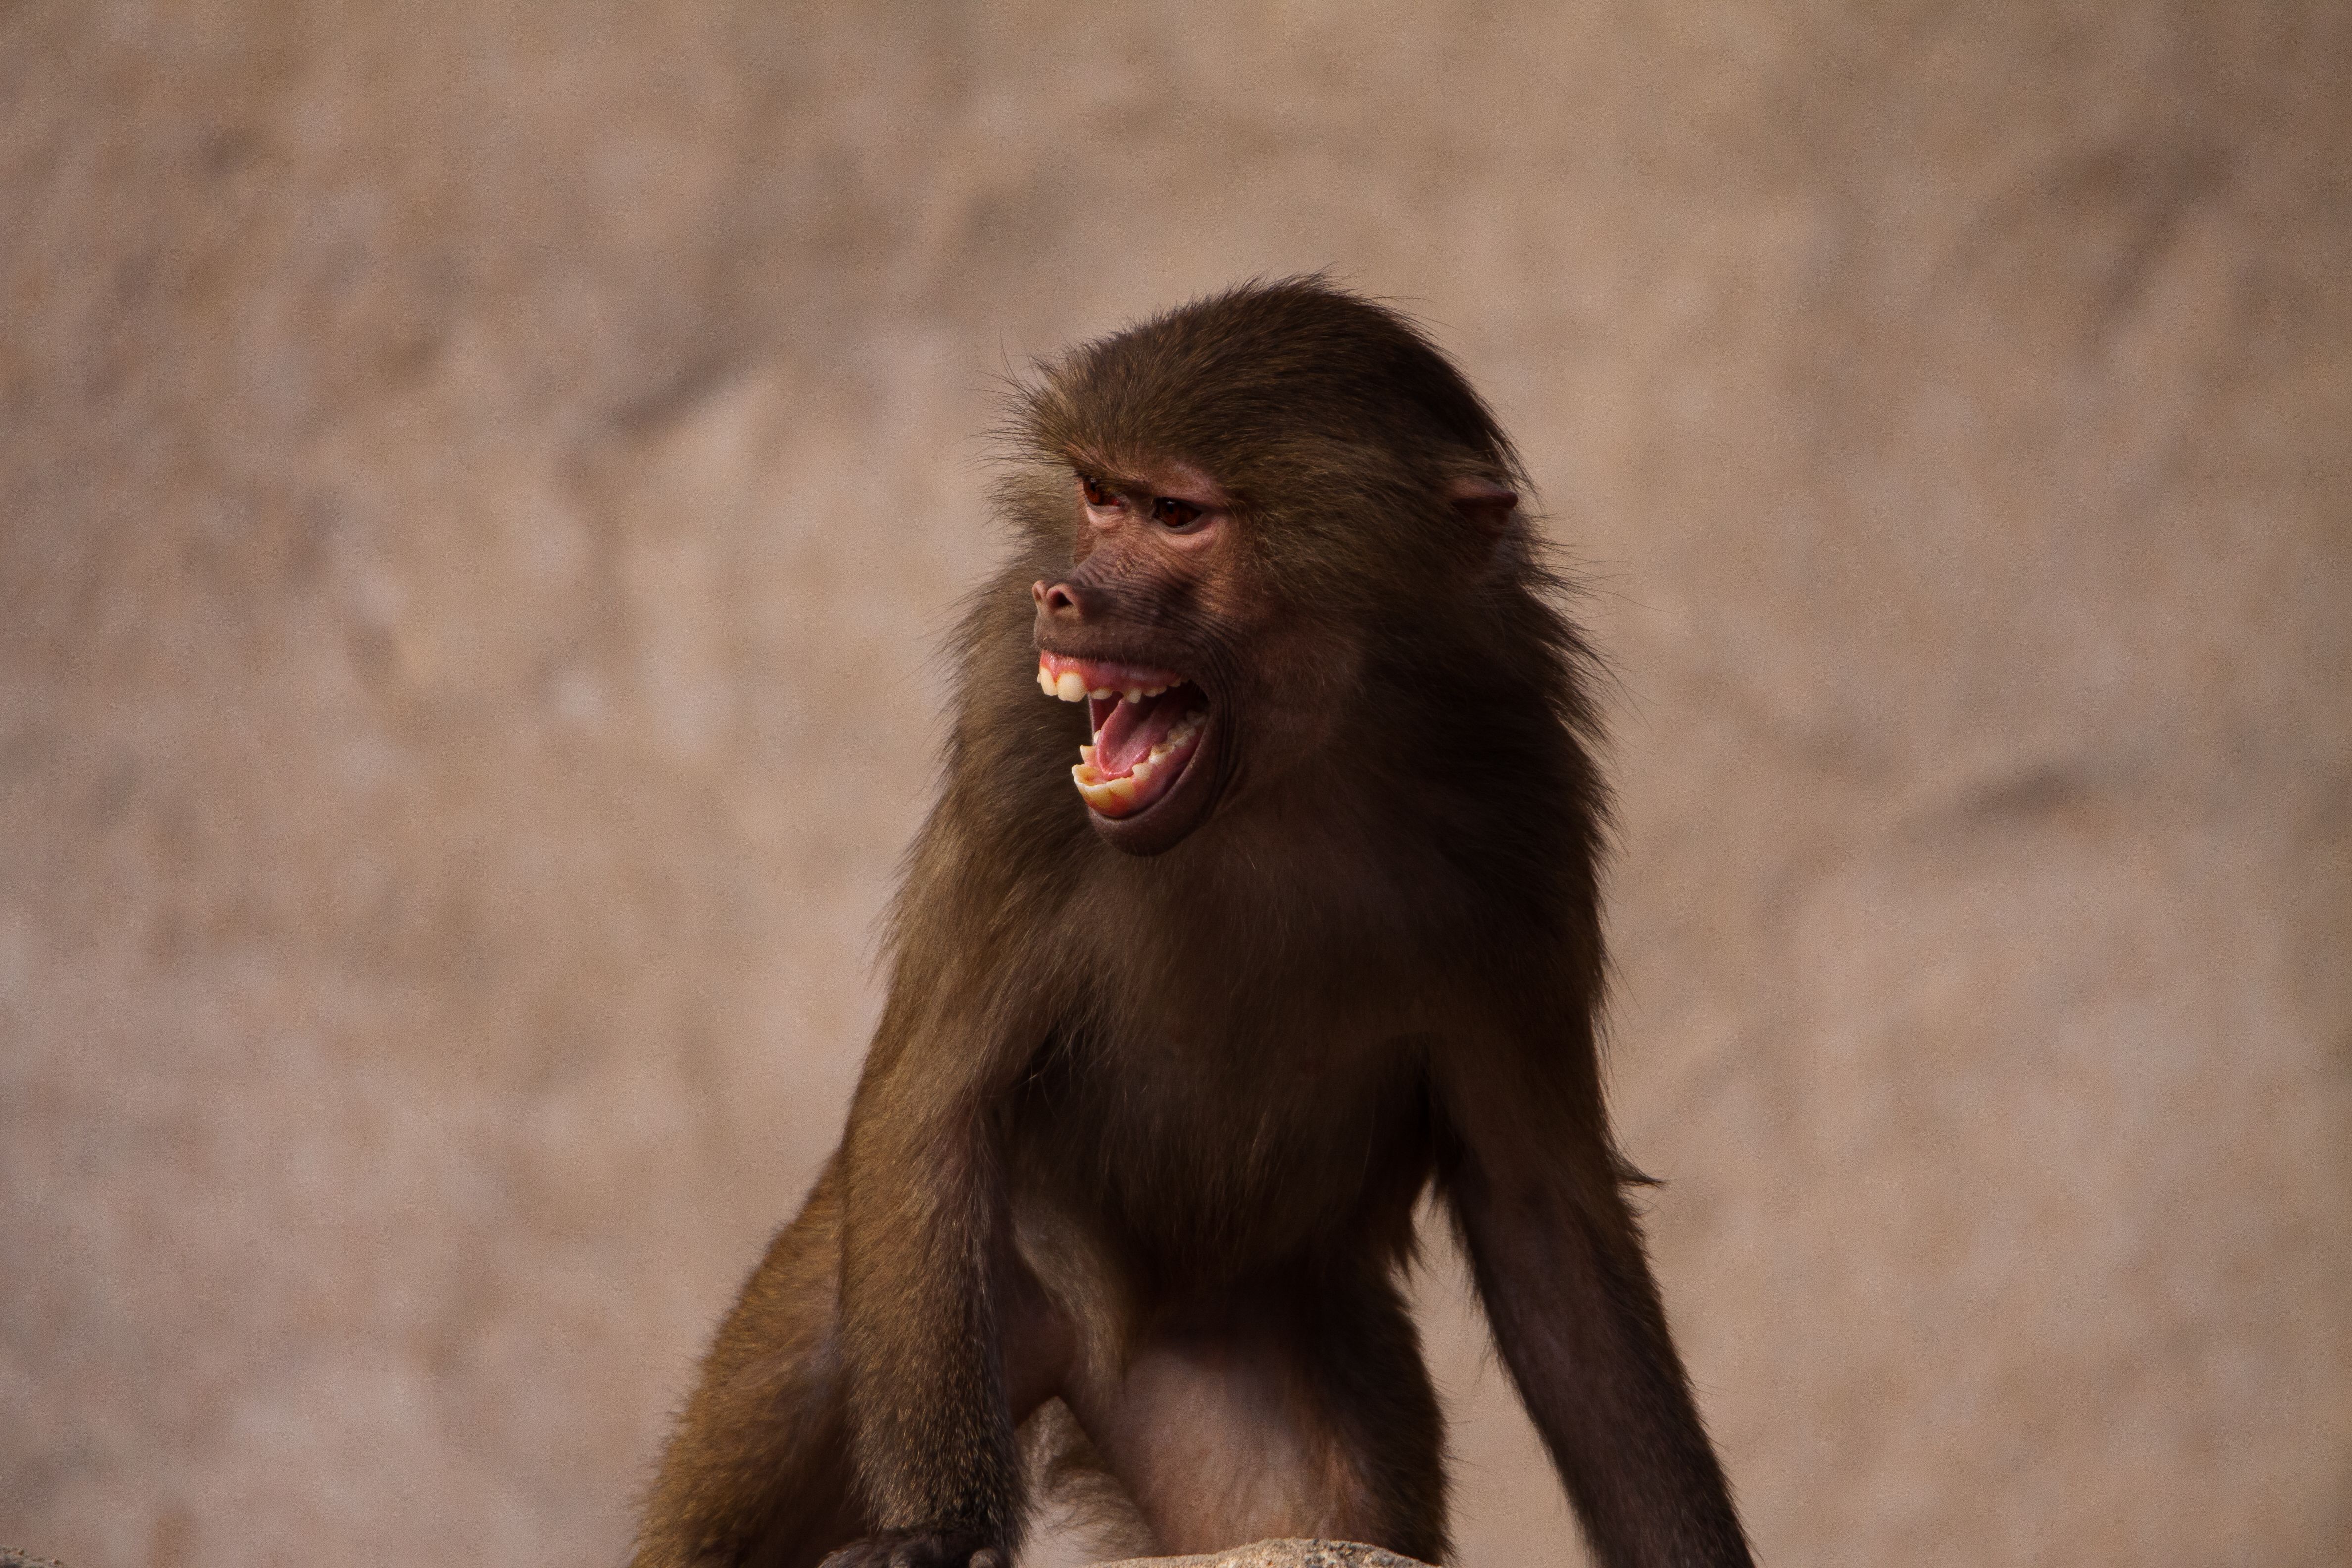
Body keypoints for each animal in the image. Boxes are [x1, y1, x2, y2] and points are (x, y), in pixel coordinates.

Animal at [631, 279, 1755, 1568]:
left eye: (1177, 515)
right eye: (1096, 494)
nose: (1061, 593)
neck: (1293, 774)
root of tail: (1096, 1348)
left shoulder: (1531, 816)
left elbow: (1544, 1222)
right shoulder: (1014, 735)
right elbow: (935, 1098)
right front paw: (941, 1530)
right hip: (917, 1296)